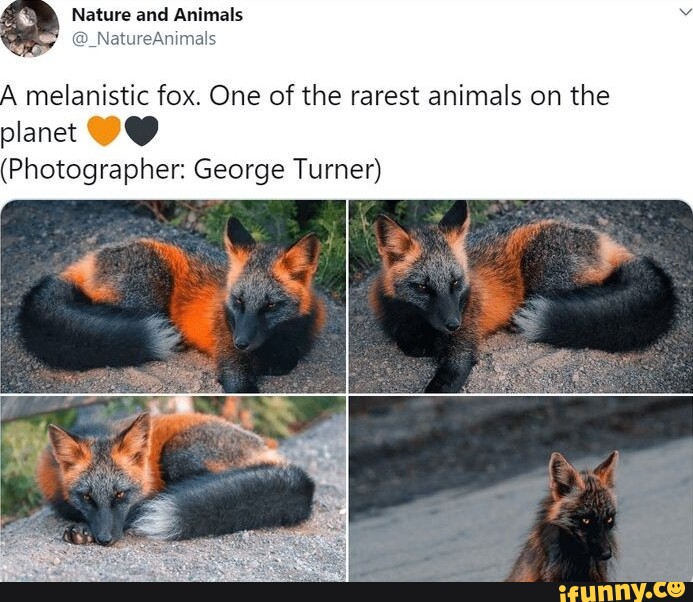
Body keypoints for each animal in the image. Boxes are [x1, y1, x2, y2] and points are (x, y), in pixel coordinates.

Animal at [18, 217, 326, 393]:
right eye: (238, 301)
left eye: (271, 306)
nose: (240, 342)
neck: (275, 342)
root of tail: (89, 258)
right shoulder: (229, 360)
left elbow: (288, 361)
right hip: (149, 293)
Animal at [370, 200, 676, 393]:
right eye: (423, 288)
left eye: (455, 283)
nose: (454, 324)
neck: (418, 324)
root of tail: (606, 240)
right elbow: (408, 345)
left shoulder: (463, 348)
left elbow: (443, 383)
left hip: (544, 274)